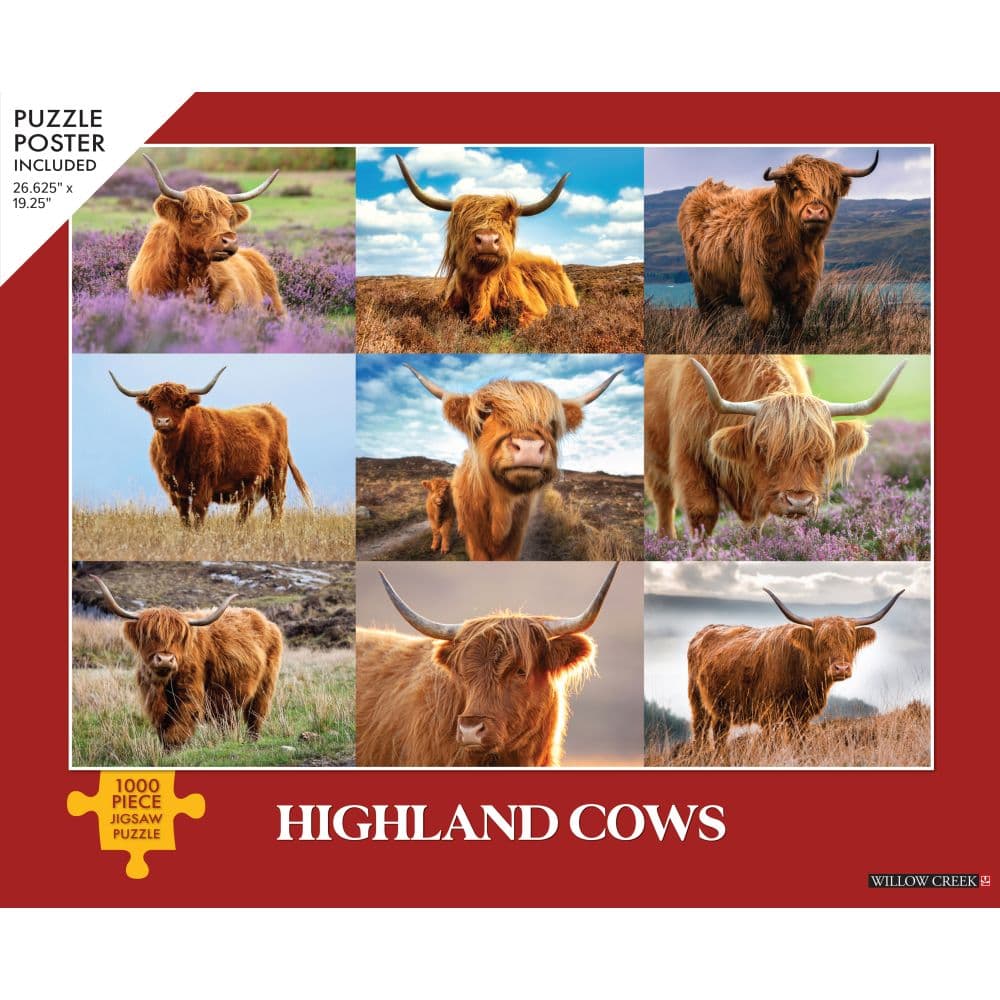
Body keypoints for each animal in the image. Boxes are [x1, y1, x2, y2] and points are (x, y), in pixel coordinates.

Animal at [90, 575, 283, 749]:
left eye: (178, 636)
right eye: (150, 635)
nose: (165, 659)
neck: (164, 684)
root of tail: (266, 621)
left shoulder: (189, 694)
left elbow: (178, 726)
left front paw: (175, 750)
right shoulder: (153, 700)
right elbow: (164, 729)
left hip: (264, 687)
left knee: (255, 717)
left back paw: (251, 740)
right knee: (228, 722)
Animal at [109, 366, 312, 527]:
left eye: (179, 403)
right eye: (153, 404)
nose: (163, 421)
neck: (175, 453)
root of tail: (270, 409)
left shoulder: (203, 483)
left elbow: (198, 513)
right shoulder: (176, 490)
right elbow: (184, 516)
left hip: (277, 476)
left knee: (276, 506)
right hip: (255, 483)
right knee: (247, 507)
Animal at [645, 355, 904, 538]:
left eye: (821, 454)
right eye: (764, 449)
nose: (799, 502)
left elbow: (755, 524)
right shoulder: (689, 456)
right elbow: (702, 514)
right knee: (664, 500)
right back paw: (666, 540)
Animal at [677, 151, 879, 341]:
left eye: (832, 191)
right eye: (796, 187)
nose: (815, 212)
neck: (796, 246)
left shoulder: (805, 287)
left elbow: (796, 322)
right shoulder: (757, 283)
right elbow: (760, 323)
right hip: (701, 286)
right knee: (708, 317)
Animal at [688, 587, 904, 746]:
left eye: (849, 642)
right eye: (822, 642)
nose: (841, 669)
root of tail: (704, 631)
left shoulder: (802, 717)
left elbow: (798, 744)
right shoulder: (770, 715)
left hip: (721, 708)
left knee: (720, 735)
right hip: (697, 701)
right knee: (700, 733)